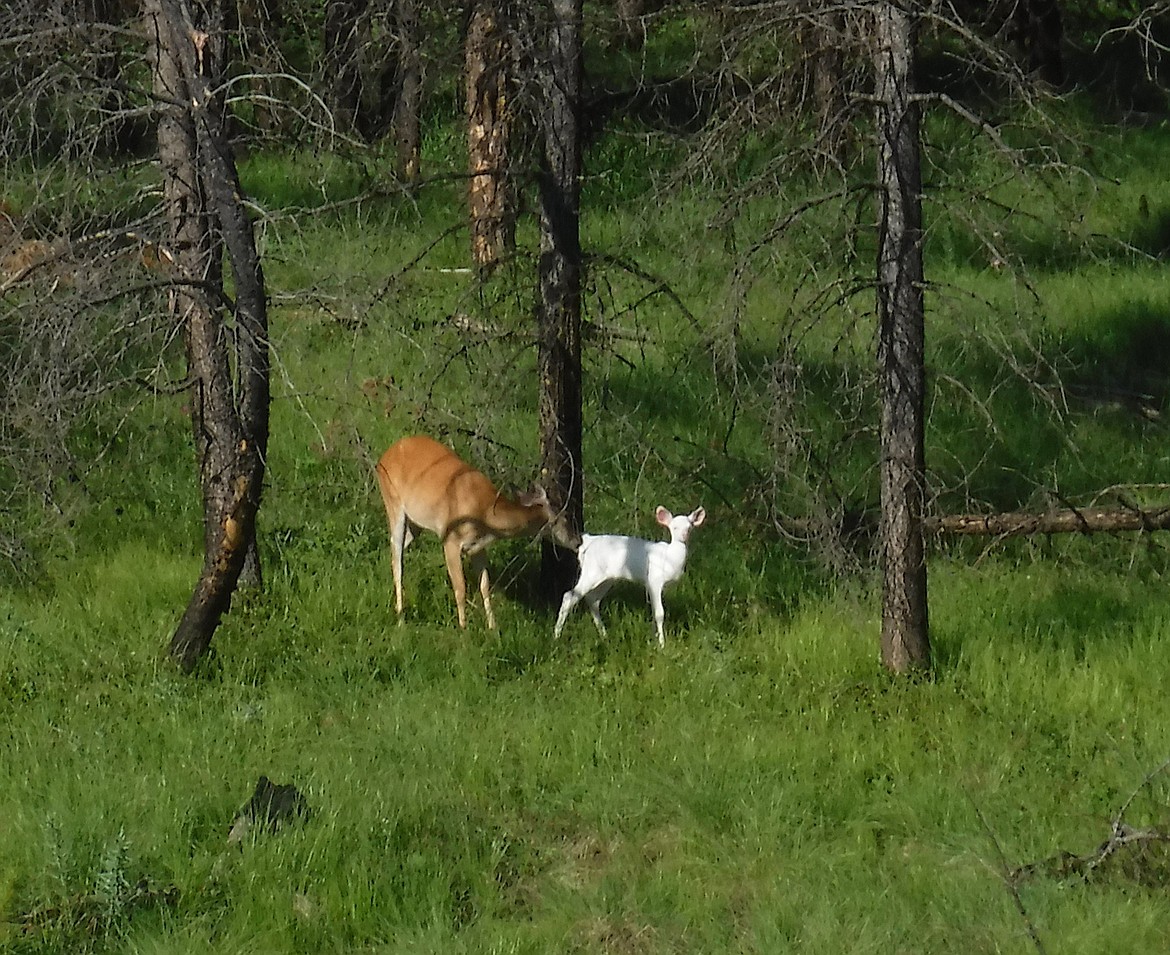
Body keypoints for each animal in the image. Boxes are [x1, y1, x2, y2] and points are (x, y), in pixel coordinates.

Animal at [375, 434, 577, 629]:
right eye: (565, 517)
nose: (577, 541)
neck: (485, 513)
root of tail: (383, 457)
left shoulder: (478, 546)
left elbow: (485, 585)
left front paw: (493, 628)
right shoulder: (450, 540)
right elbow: (460, 588)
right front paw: (463, 628)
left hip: (415, 523)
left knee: (395, 548)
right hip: (392, 501)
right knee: (397, 554)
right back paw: (400, 617)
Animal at [554, 505, 706, 647]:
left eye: (690, 527)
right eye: (674, 527)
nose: (684, 536)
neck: (669, 558)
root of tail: (587, 542)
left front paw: (655, 639)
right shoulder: (654, 579)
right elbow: (659, 613)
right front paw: (662, 644)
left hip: (606, 577)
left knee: (592, 599)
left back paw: (604, 635)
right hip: (591, 571)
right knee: (569, 596)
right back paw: (557, 635)